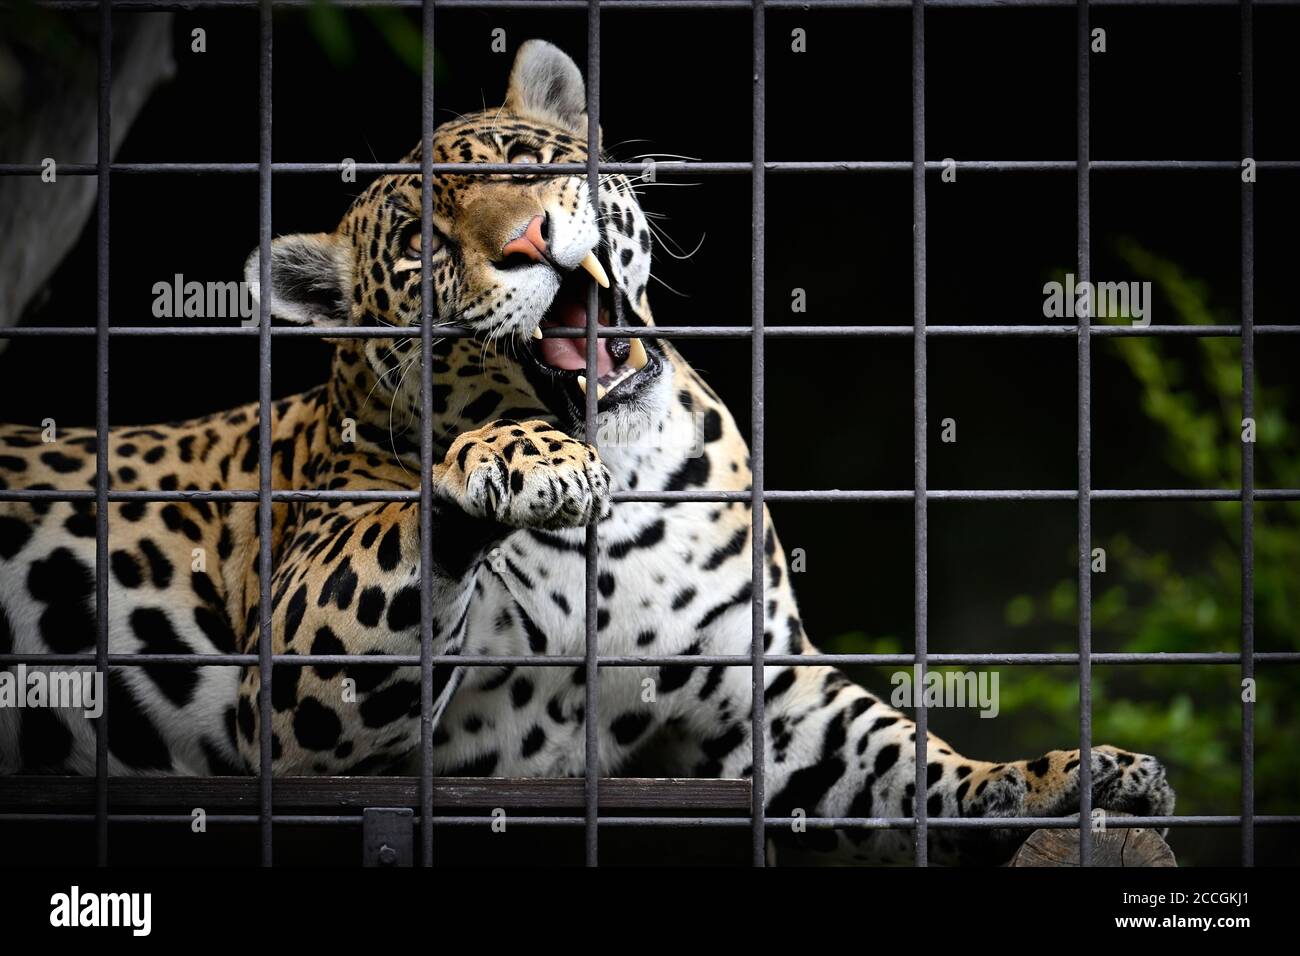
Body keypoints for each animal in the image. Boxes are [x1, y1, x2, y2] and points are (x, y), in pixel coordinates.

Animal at [0, 39, 1174, 865]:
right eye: (424, 248)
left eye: (525, 164)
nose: (531, 243)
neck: (636, 488)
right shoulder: (291, 686)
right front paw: (521, 459)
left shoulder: (772, 711)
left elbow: (902, 756)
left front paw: (1070, 777)